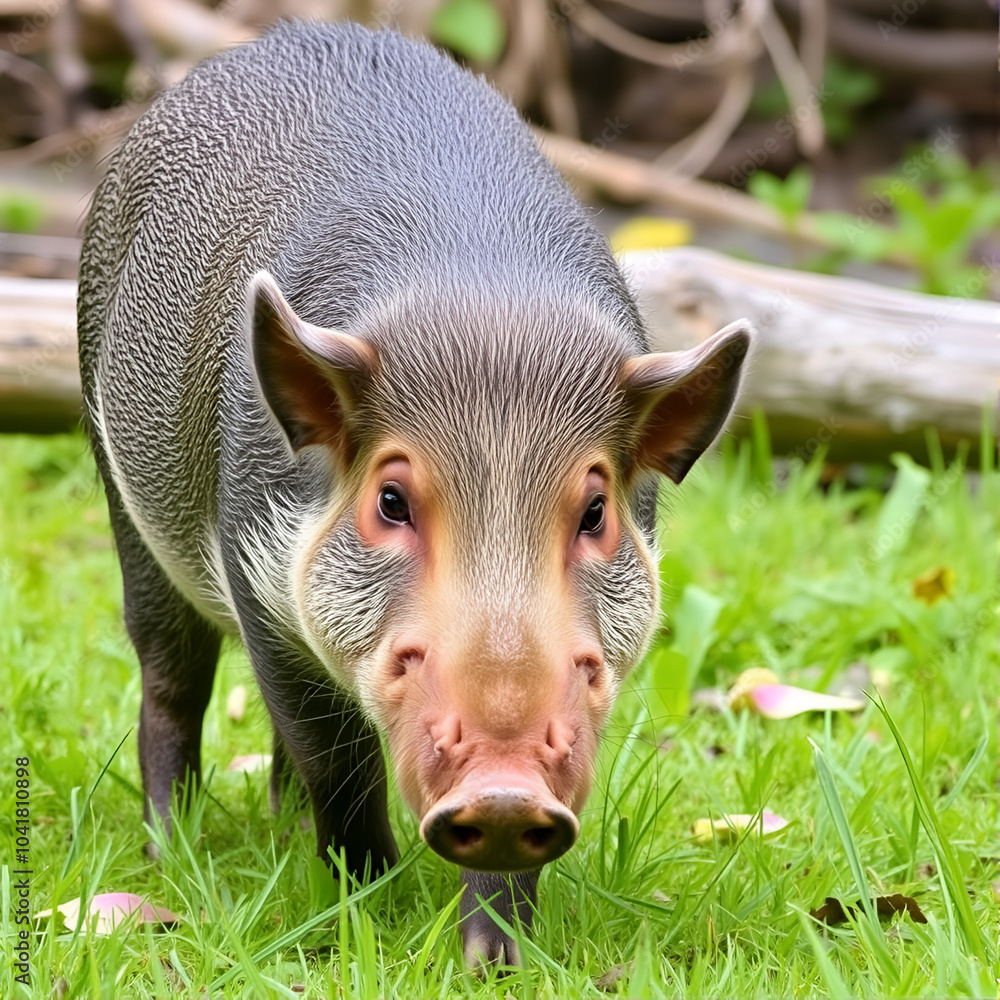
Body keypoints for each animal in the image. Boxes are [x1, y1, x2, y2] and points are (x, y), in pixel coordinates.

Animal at [77, 20, 751, 967]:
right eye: (391, 501)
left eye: (595, 512)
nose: (503, 789)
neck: (484, 312)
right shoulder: (255, 572)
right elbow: (334, 756)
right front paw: (363, 910)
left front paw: (493, 964)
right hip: (121, 497)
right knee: (171, 683)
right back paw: (172, 857)